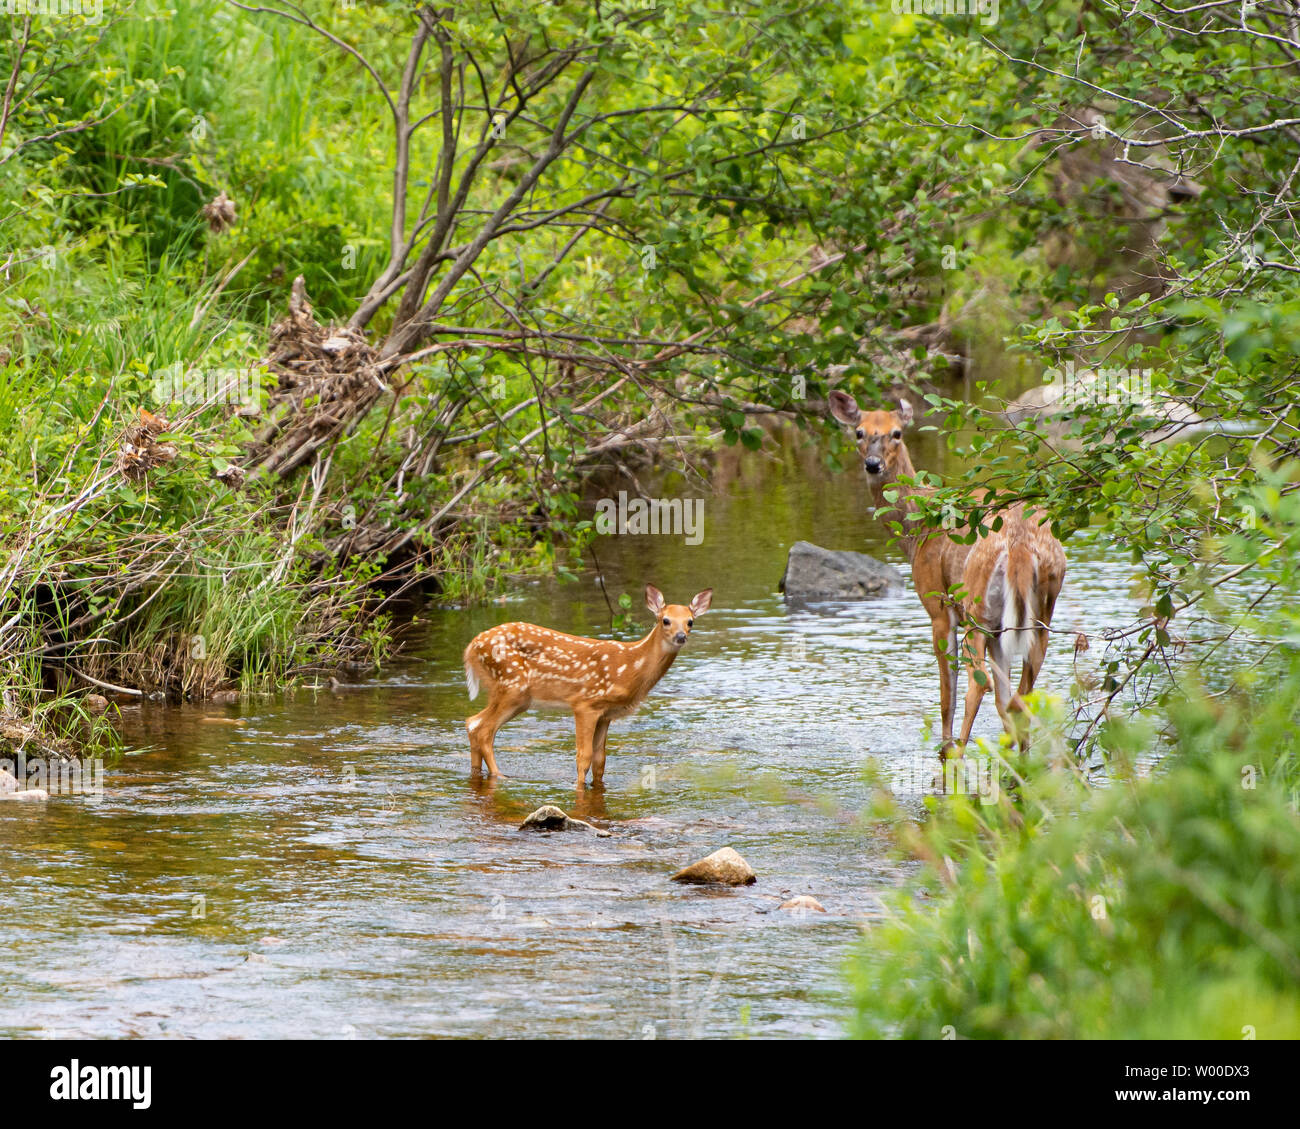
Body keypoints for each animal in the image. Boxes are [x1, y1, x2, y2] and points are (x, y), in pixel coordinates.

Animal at [463, 585, 712, 788]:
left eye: (690, 621)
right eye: (665, 620)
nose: (680, 636)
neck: (630, 667)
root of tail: (471, 646)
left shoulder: (606, 714)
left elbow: (600, 761)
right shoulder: (585, 704)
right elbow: (583, 757)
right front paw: (579, 788)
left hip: (513, 695)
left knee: (472, 723)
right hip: (512, 686)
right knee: (483, 729)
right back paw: (501, 776)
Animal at [828, 390, 1066, 756]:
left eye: (897, 433)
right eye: (859, 432)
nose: (873, 463)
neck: (917, 530)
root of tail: (1021, 545)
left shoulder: (937, 604)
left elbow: (946, 692)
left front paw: (945, 743)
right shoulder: (999, 629)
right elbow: (1005, 697)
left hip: (975, 605)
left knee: (977, 683)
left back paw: (955, 751)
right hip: (1040, 609)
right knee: (1021, 692)